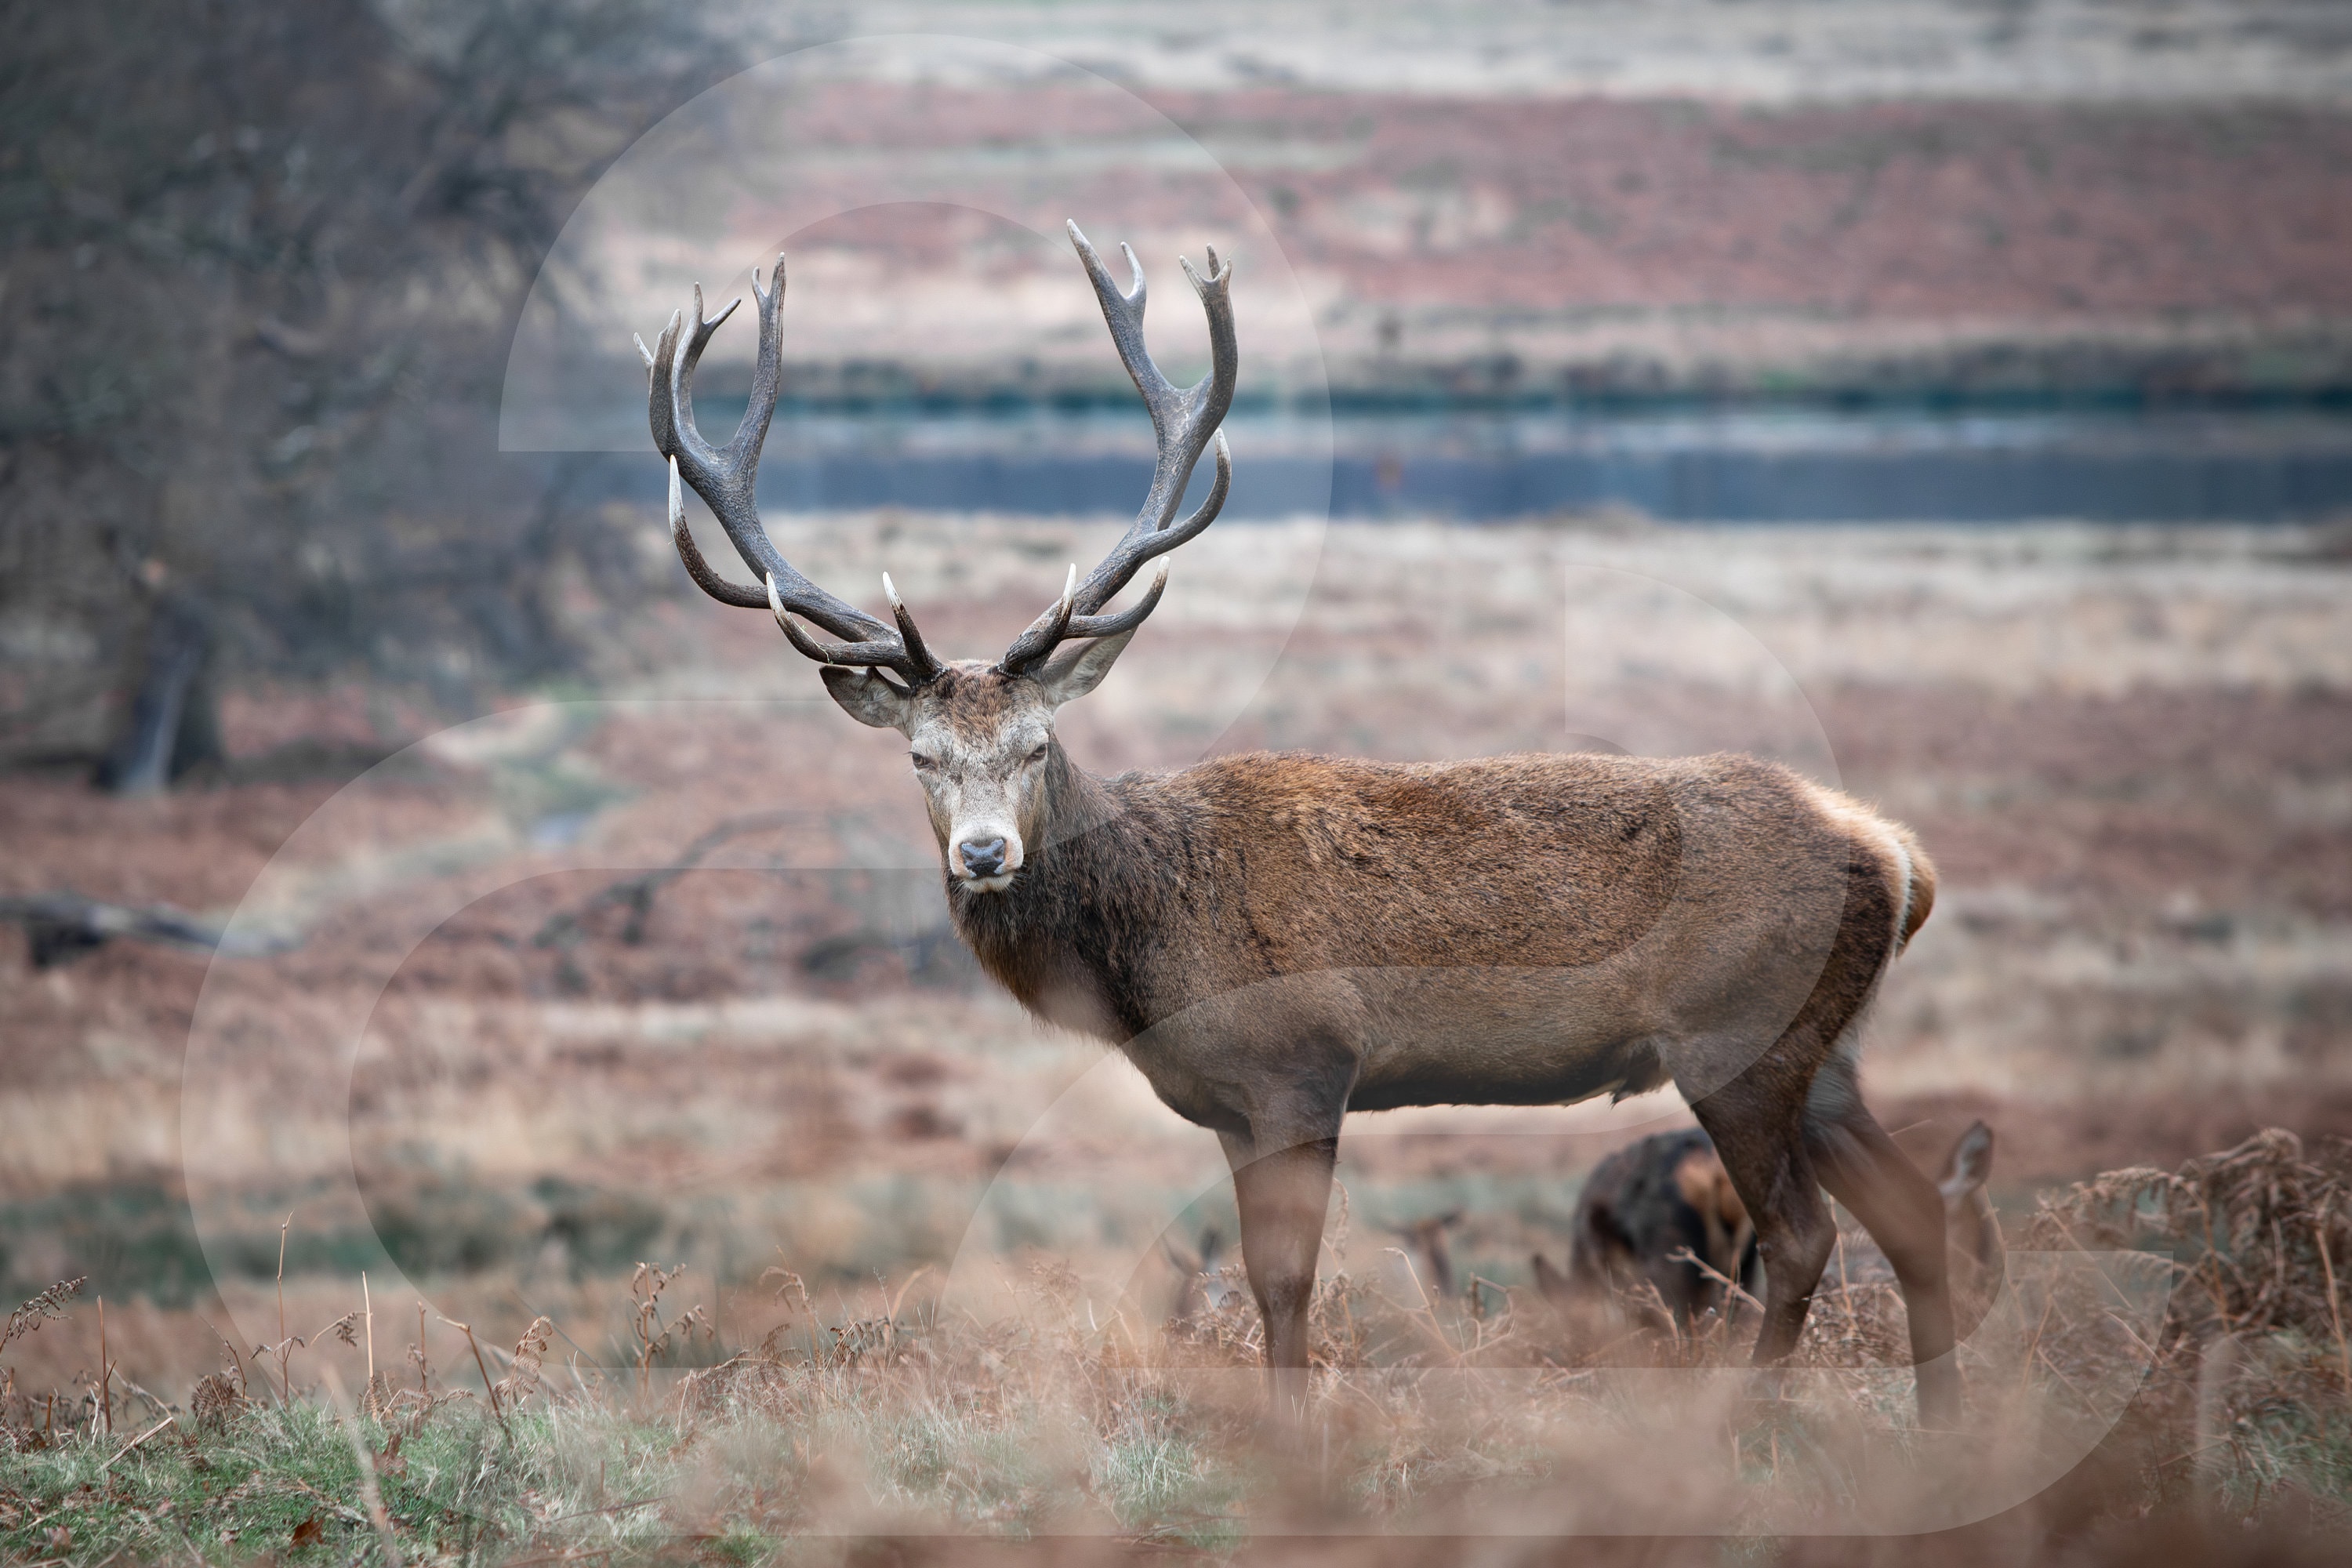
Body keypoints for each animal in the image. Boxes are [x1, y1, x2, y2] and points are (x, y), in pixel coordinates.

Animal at [642, 221, 1956, 1425]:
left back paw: (1746, 1424)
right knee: (1918, 1213)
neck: (1146, 954)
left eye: (1036, 744)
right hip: (1827, 1043)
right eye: (920, 756)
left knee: (1804, 1236)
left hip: (1738, 1037)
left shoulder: (1301, 1066)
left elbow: (1284, 1286)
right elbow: (1263, 1279)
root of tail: (1896, 856)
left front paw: (1297, 1446)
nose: (982, 853)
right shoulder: (1232, 1107)